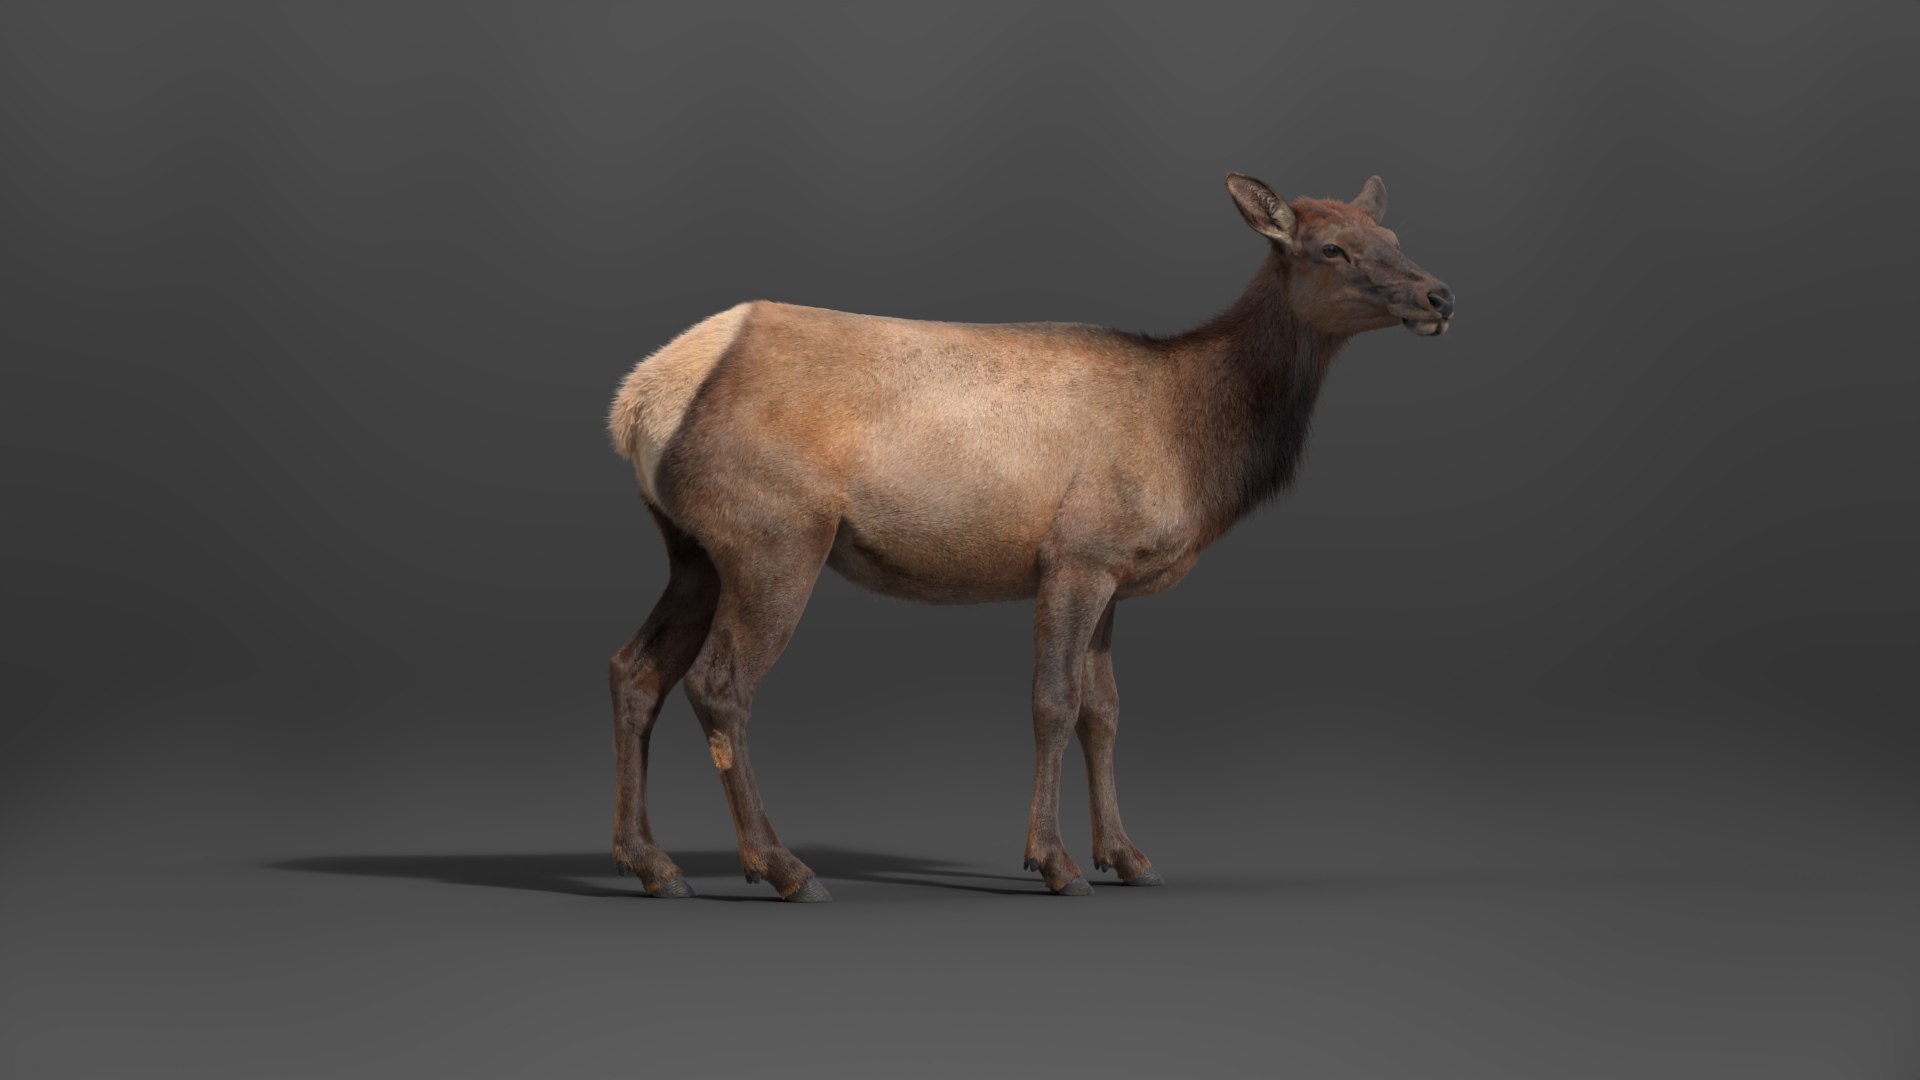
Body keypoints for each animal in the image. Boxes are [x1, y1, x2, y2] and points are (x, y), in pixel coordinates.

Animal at [606, 172, 1454, 902]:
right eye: (1330, 248)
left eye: (1391, 232)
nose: (1440, 293)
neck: (1193, 442)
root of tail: (636, 404)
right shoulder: (1076, 555)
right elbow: (1054, 700)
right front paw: (1055, 861)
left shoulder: (1114, 571)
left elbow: (1104, 710)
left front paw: (1128, 855)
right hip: (774, 538)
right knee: (720, 684)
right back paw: (780, 867)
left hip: (692, 550)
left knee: (633, 670)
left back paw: (650, 863)